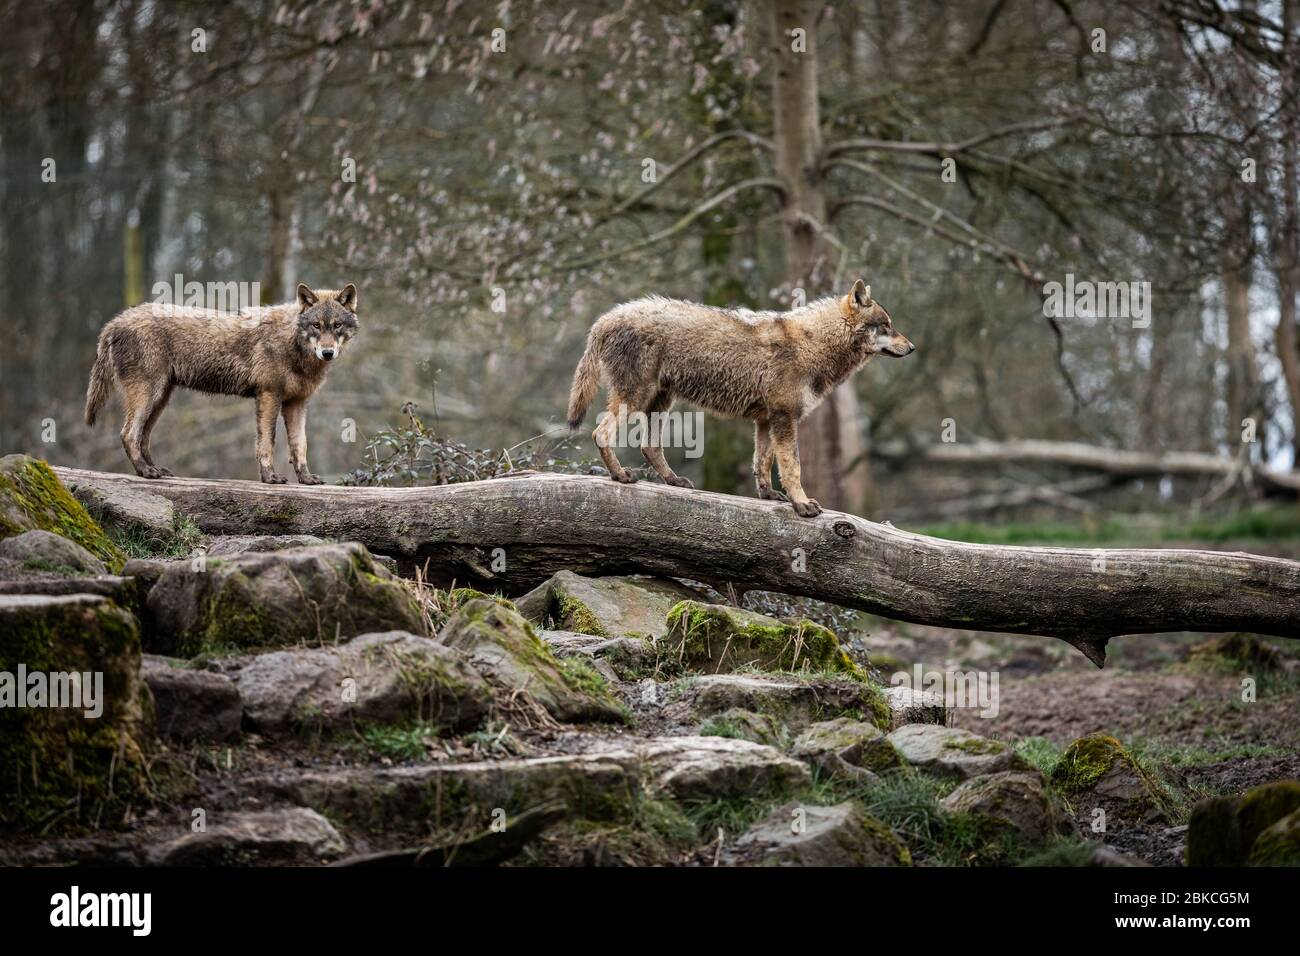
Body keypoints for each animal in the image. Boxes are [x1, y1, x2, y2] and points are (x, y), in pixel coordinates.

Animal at [84, 283, 358, 484]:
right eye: (316, 325)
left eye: (336, 325)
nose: (327, 353)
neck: (293, 343)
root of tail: (115, 321)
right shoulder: (269, 395)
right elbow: (267, 441)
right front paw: (269, 477)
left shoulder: (297, 403)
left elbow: (300, 445)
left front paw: (306, 479)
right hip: (148, 395)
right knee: (128, 434)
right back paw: (146, 472)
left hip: (160, 399)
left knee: (143, 437)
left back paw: (155, 469)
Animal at [566, 280, 914, 517]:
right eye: (886, 326)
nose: (911, 347)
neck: (814, 344)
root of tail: (606, 318)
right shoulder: (785, 418)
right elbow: (793, 467)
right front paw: (802, 505)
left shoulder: (766, 421)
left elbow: (763, 463)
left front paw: (769, 495)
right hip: (636, 399)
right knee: (600, 433)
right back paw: (620, 476)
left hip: (660, 403)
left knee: (649, 446)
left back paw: (674, 480)